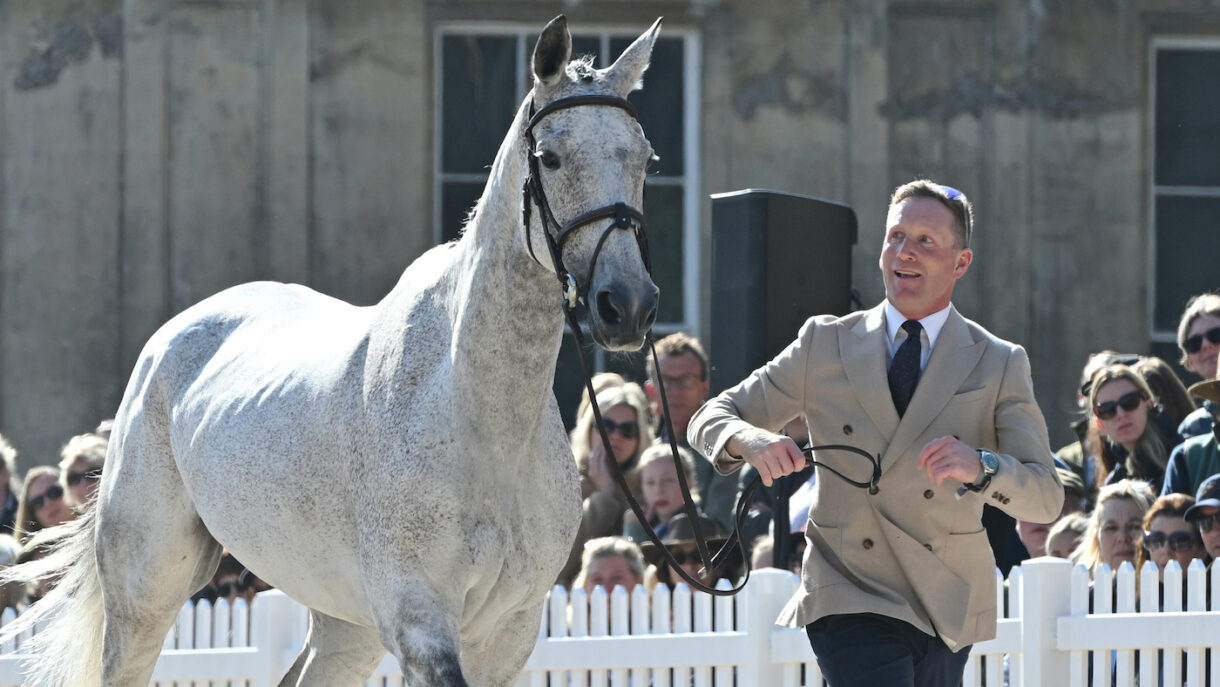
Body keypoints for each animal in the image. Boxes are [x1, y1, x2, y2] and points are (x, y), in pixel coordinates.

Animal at [2, 15, 662, 686]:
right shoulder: (420, 621)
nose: (627, 306)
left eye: (644, 158)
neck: (477, 415)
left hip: (346, 621)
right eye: (550, 157)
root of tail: (165, 342)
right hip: (149, 589)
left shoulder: (508, 633)